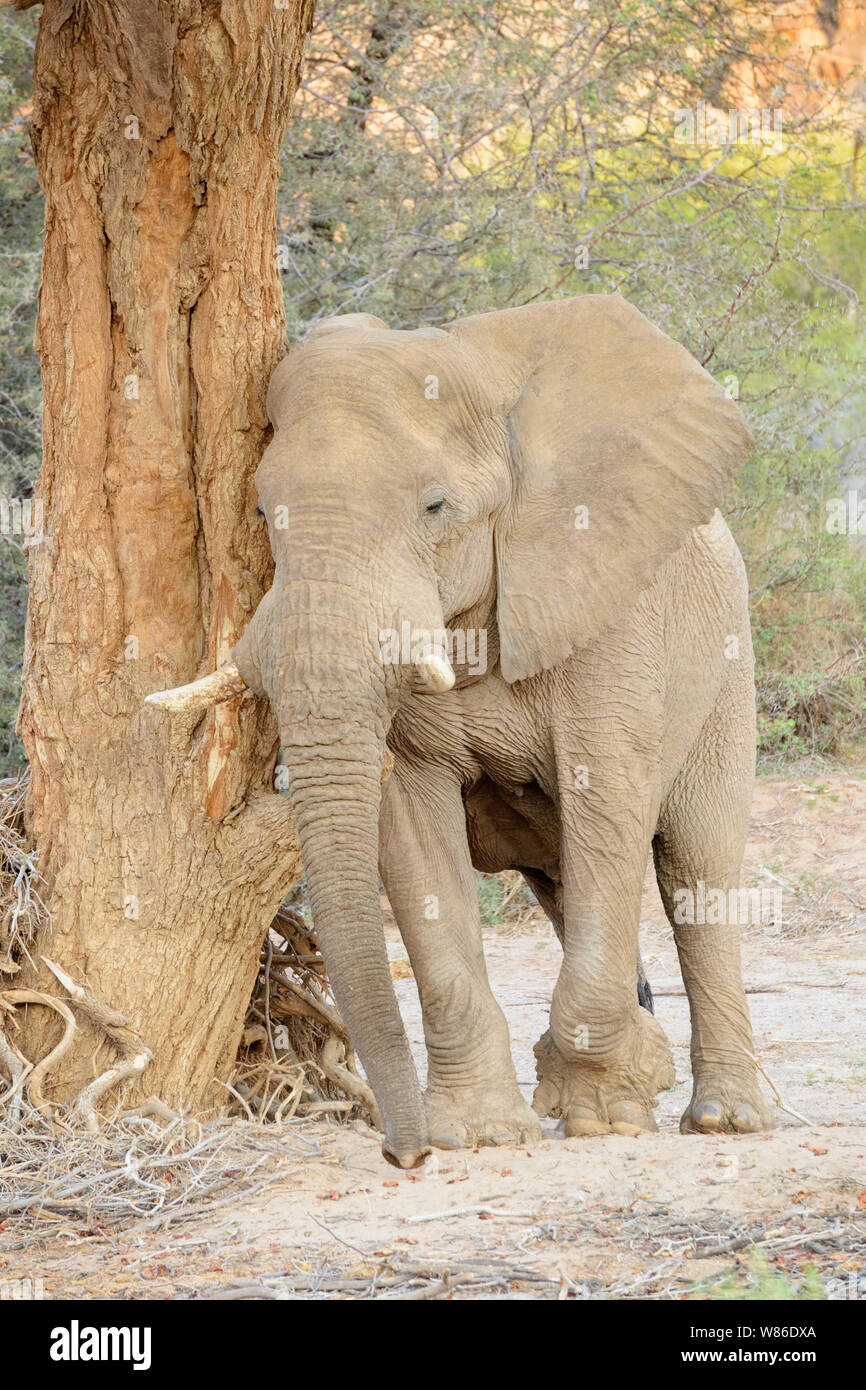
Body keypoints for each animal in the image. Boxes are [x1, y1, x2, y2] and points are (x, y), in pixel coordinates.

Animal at [147, 294, 774, 1168]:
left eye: (435, 507)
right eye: (265, 510)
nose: (400, 1155)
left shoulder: (611, 616)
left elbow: (610, 799)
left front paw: (608, 1114)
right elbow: (413, 830)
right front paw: (479, 1135)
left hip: (726, 674)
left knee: (695, 866)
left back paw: (723, 1118)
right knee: (568, 883)